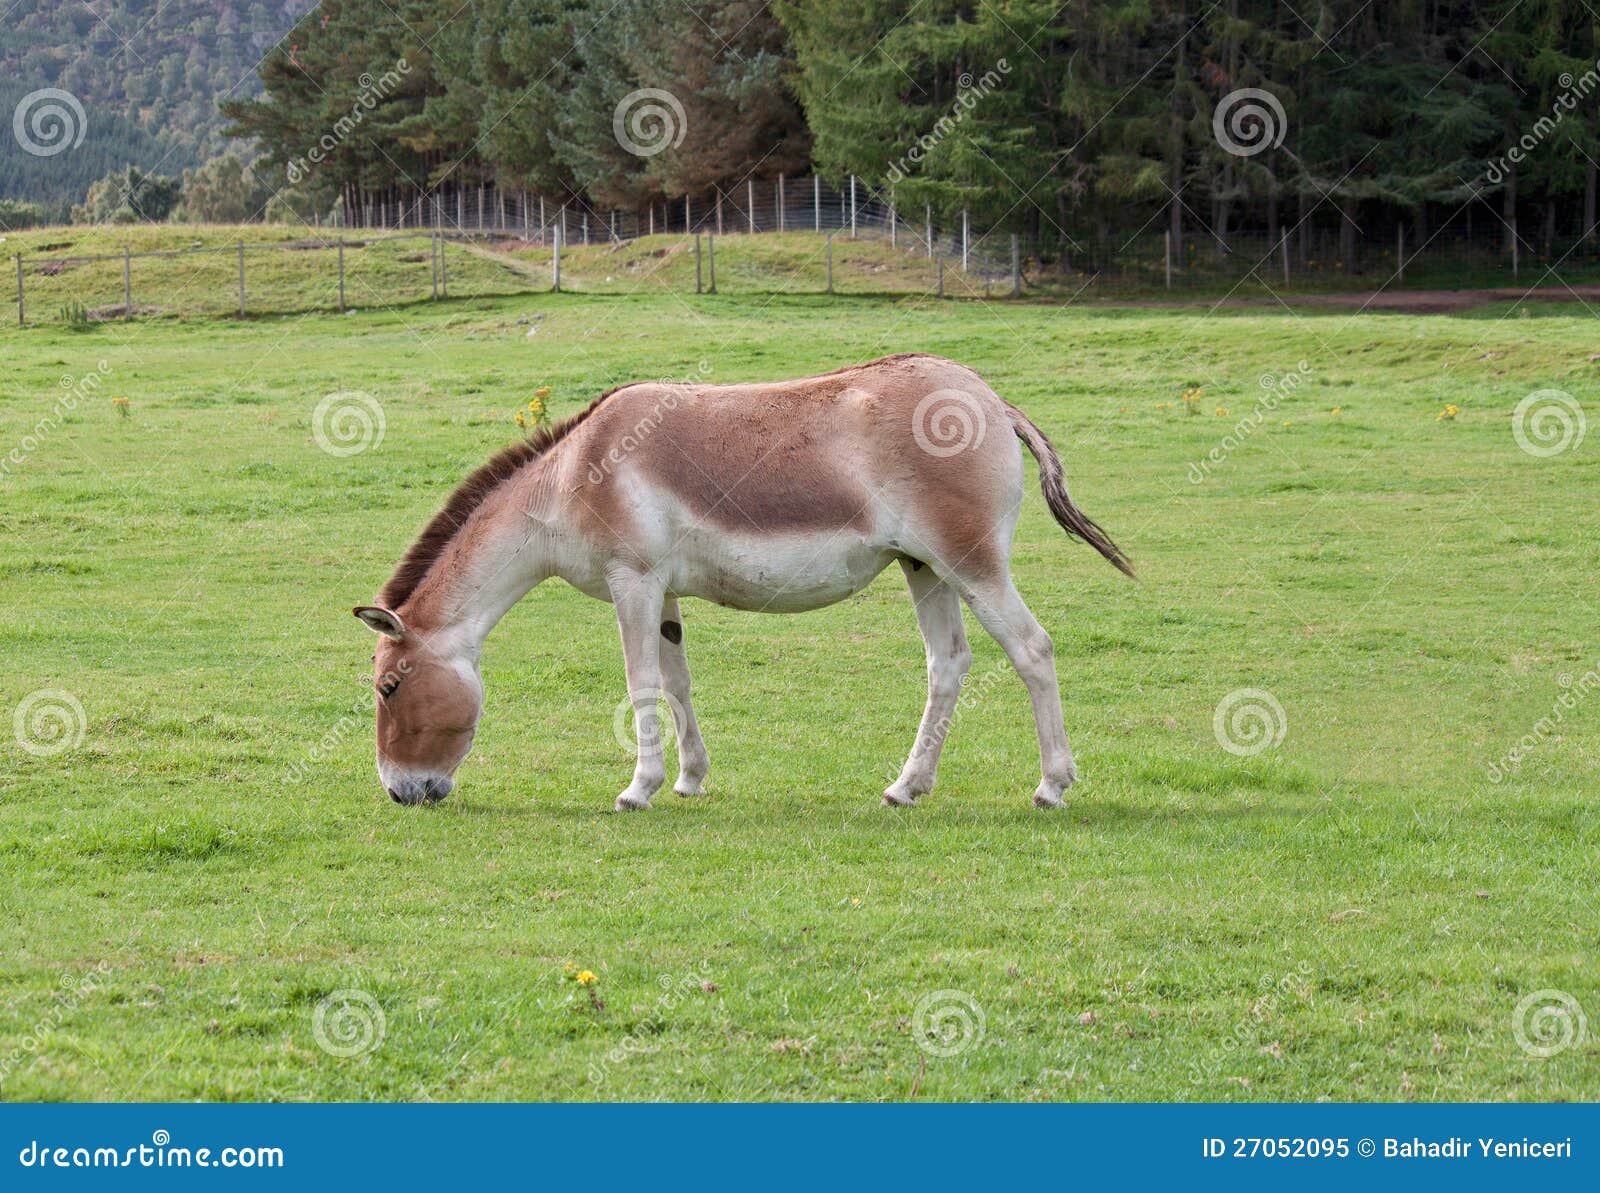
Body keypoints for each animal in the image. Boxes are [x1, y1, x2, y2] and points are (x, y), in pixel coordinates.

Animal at [354, 353, 1132, 811]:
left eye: (389, 687)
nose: (400, 793)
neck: (573, 473)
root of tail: (991, 397)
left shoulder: (634, 582)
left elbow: (640, 683)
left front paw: (637, 789)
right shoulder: (664, 592)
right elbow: (677, 681)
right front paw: (690, 778)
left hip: (971, 562)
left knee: (1032, 649)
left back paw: (1051, 786)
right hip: (926, 567)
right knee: (948, 664)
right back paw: (906, 787)